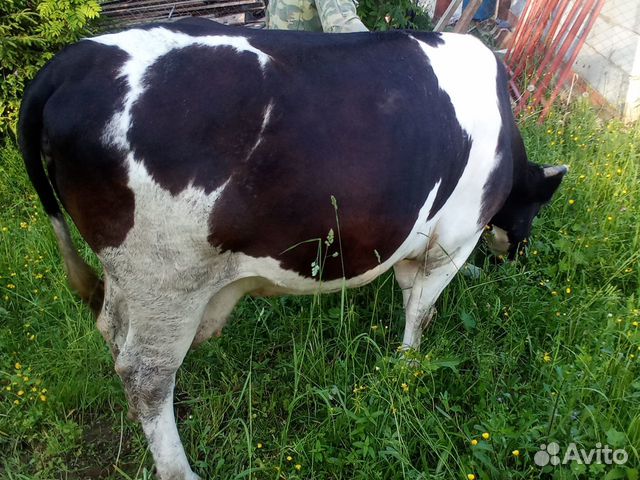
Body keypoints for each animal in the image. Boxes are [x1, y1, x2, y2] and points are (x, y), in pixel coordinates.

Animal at [19, 18, 566, 480]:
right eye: (536, 210)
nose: (518, 257)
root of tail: (70, 64)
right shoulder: (453, 240)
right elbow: (419, 308)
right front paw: (407, 368)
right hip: (167, 277)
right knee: (146, 374)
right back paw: (179, 469)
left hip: (129, 274)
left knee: (111, 326)